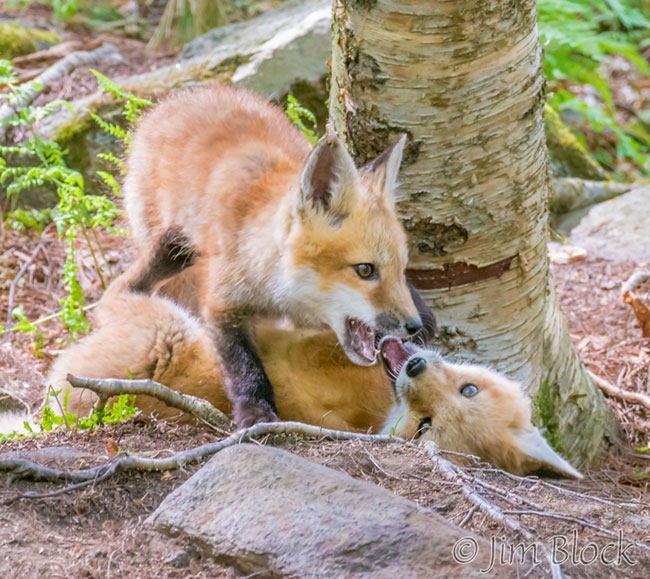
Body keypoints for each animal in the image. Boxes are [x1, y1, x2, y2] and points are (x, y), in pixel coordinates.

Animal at [12, 231, 580, 478]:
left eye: (426, 427)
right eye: (470, 388)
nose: (415, 366)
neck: (376, 407)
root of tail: (55, 410)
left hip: (162, 327)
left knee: (121, 290)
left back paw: (167, 253)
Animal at [121, 84, 425, 426]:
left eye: (402, 270)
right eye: (364, 270)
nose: (415, 326)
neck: (274, 288)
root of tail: (181, 96)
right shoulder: (223, 302)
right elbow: (244, 366)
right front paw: (256, 414)